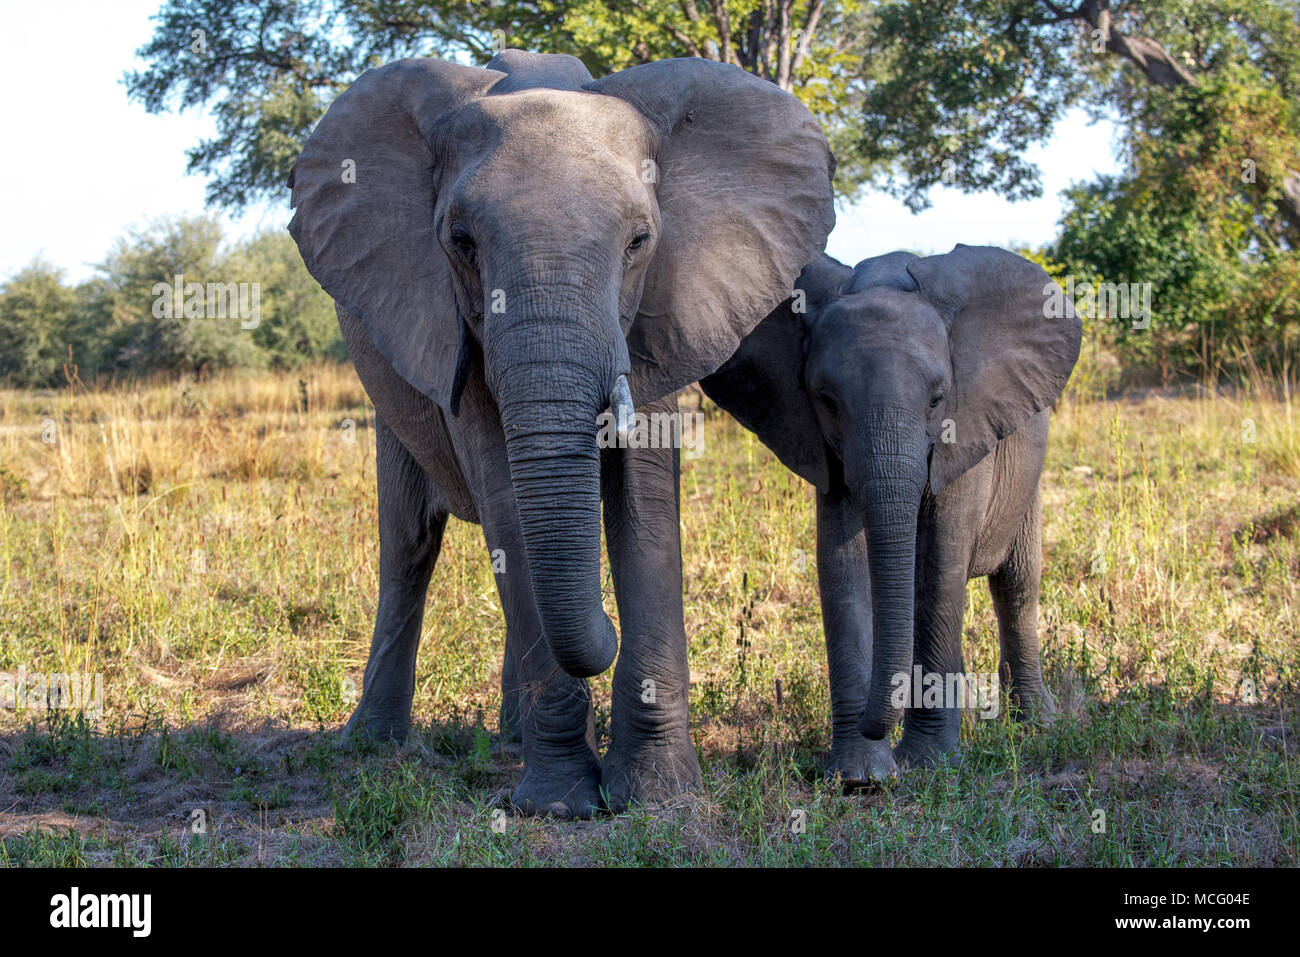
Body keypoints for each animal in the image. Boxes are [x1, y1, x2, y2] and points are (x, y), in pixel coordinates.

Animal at [286, 50, 835, 816]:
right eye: (461, 243)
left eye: (639, 242)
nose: (605, 629)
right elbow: (509, 505)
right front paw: (558, 802)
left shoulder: (664, 308)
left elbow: (644, 504)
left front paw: (659, 798)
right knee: (409, 542)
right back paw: (375, 746)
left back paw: (511, 735)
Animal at [701, 245, 1081, 783]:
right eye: (826, 401)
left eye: (937, 400)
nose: (875, 721)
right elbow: (841, 562)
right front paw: (860, 778)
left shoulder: (966, 431)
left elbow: (940, 563)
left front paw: (927, 764)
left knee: (1018, 583)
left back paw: (1037, 725)